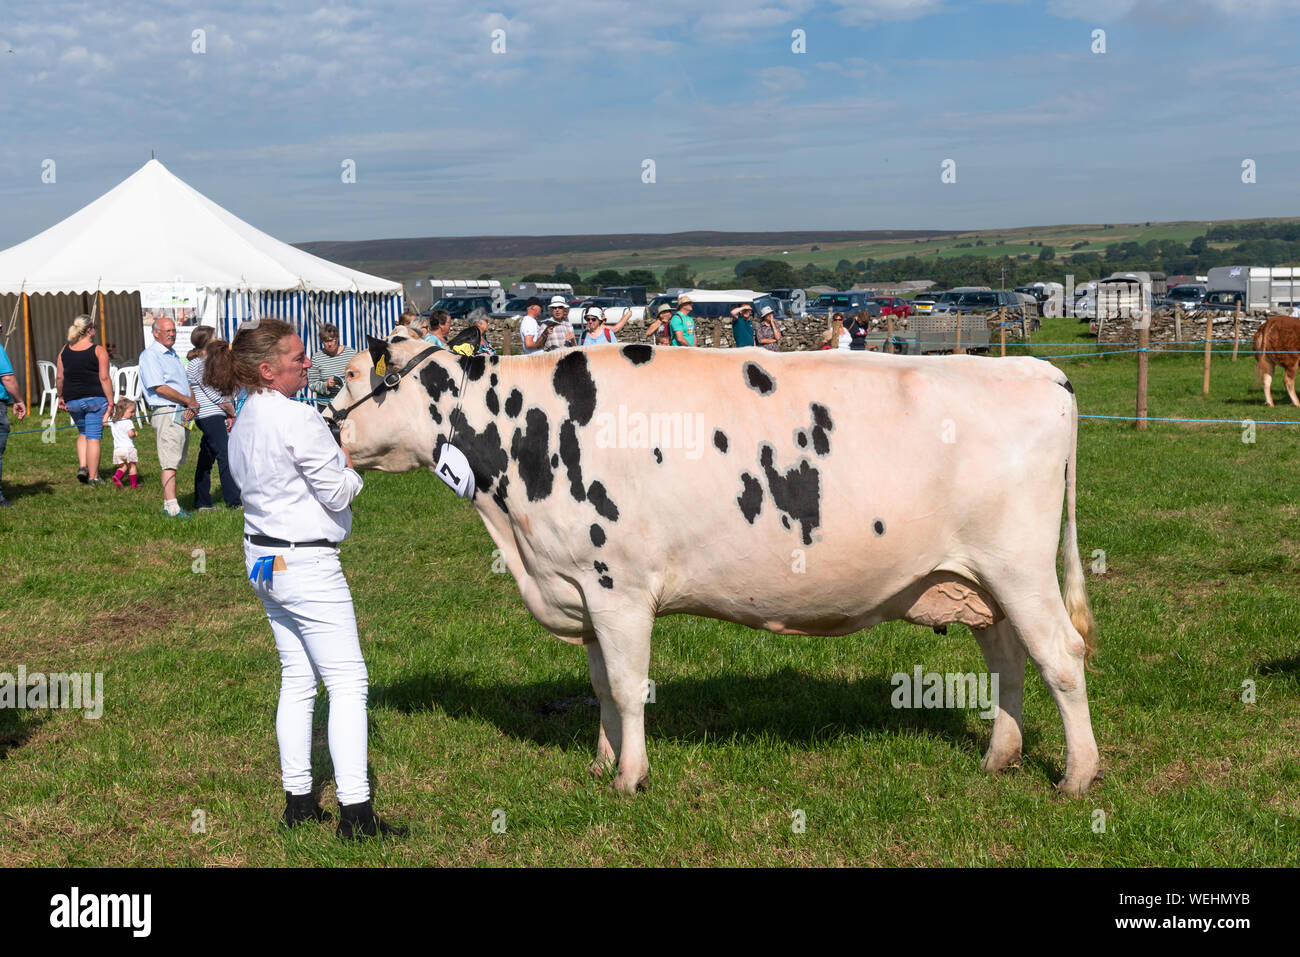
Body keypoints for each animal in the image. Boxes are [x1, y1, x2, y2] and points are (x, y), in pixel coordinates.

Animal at [326, 338, 1102, 796]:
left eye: (357, 374)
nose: (330, 423)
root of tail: (1038, 370)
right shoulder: (582, 586)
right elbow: (601, 685)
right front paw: (601, 762)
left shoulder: (618, 587)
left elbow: (629, 688)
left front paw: (630, 779)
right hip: (976, 577)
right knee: (1008, 658)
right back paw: (999, 757)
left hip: (1019, 566)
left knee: (1061, 657)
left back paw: (1078, 776)